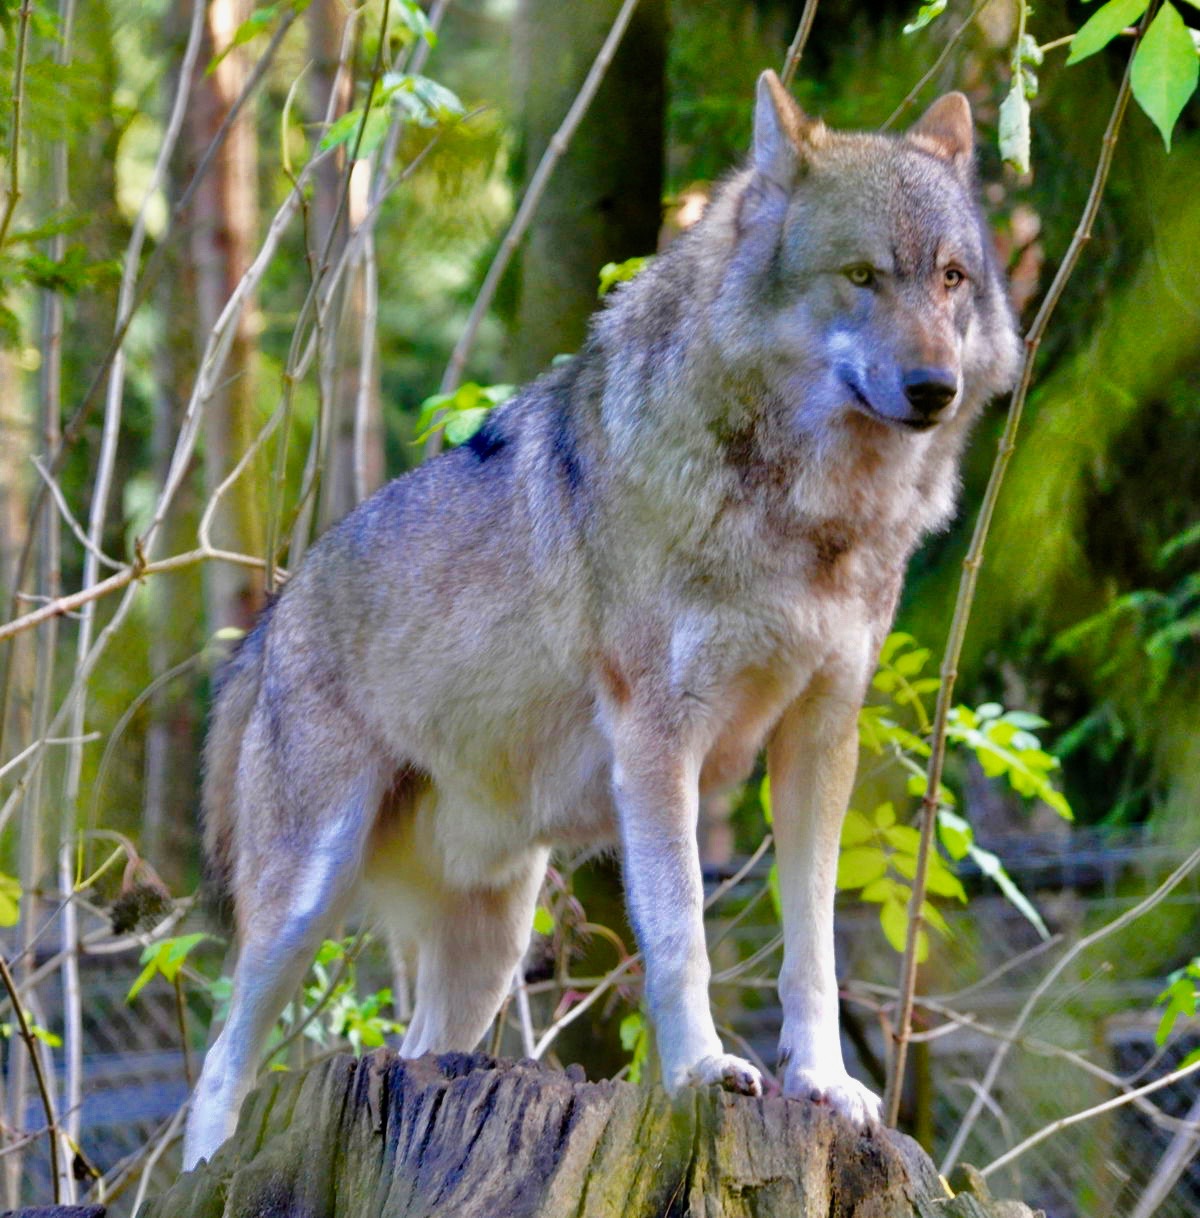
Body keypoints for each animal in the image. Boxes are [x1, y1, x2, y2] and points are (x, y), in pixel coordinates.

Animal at [183, 70, 1020, 1168]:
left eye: (953, 278)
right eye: (861, 277)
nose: (935, 389)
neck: (807, 523)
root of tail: (266, 629)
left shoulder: (818, 741)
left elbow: (814, 952)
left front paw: (826, 1086)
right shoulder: (660, 738)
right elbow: (681, 935)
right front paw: (703, 1073)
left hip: (488, 947)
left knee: (412, 1049)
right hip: (303, 902)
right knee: (217, 1067)